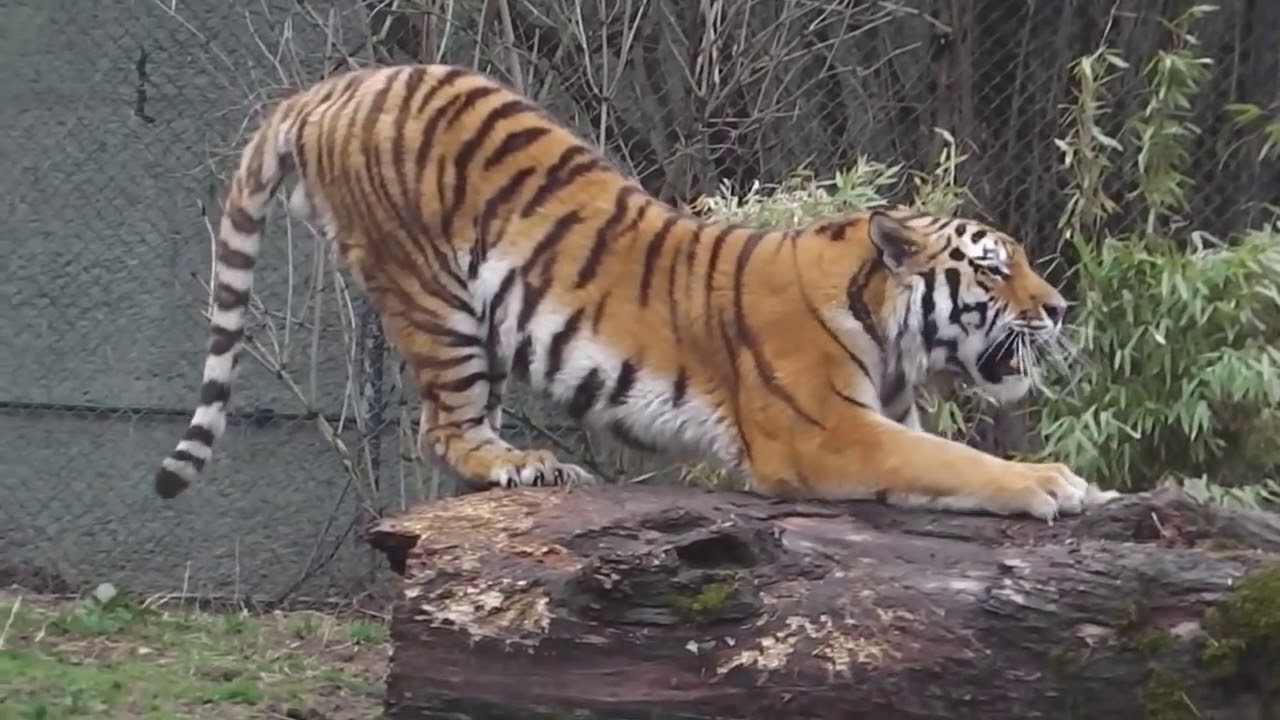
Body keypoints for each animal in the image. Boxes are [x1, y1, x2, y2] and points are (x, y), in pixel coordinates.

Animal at [152, 62, 1119, 521]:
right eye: (993, 268)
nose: (1061, 309)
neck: (893, 341)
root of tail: (333, 86)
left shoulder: (883, 422)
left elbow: (946, 465)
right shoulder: (830, 437)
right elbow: (956, 459)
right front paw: (1055, 482)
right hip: (435, 297)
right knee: (444, 427)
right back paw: (524, 463)